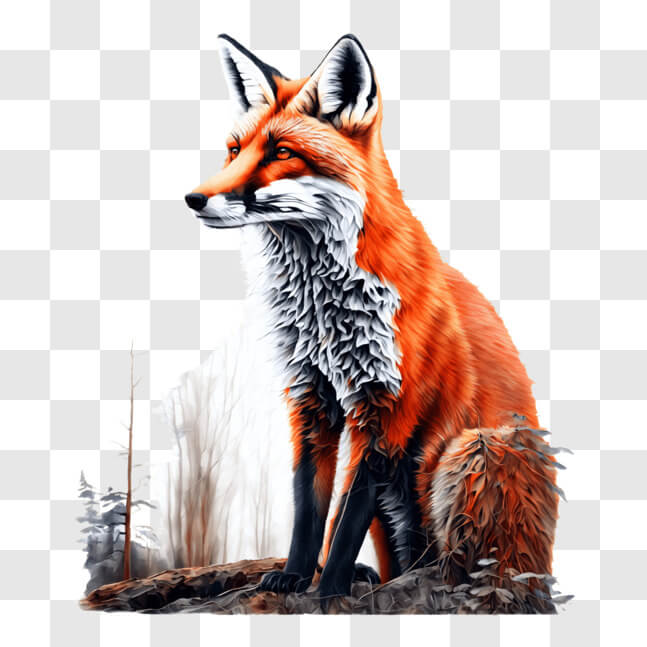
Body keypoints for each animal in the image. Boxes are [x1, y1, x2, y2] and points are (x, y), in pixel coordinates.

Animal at [185, 34, 559, 602]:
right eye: (234, 151)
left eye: (281, 153)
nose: (195, 199)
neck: (325, 315)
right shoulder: (311, 400)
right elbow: (311, 509)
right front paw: (296, 575)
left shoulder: (387, 411)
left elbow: (345, 520)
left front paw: (328, 590)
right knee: (401, 559)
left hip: (474, 447)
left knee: (462, 570)